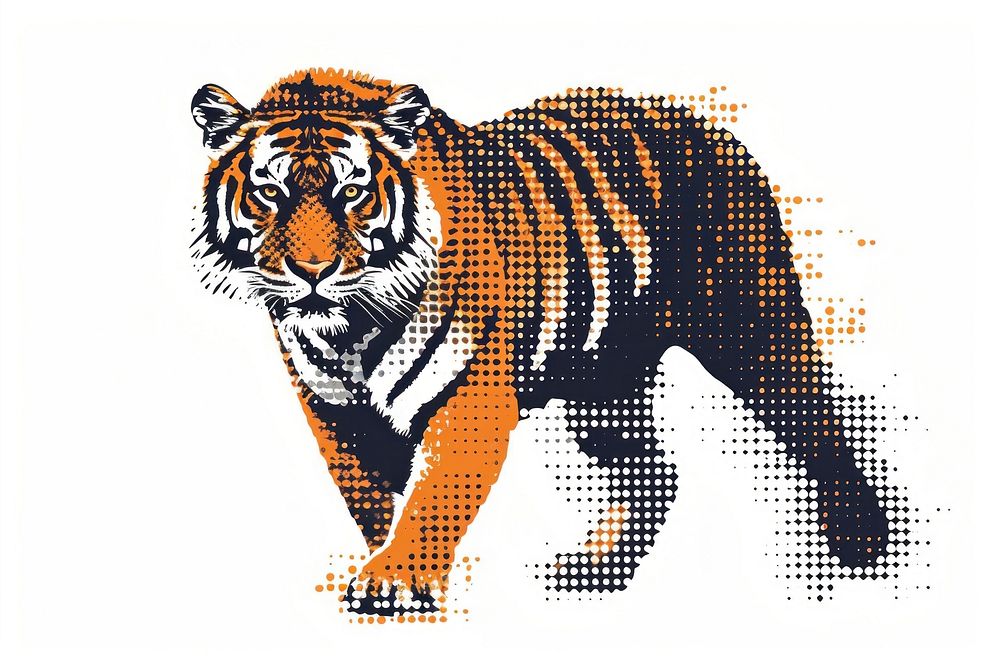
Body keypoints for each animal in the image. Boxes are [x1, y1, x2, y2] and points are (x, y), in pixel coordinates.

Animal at [190, 68, 892, 615]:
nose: (312, 271)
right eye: (269, 193)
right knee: (654, 471)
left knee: (825, 421)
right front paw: (383, 564)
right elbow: (371, 500)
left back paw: (861, 546)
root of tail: (702, 120)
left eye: (352, 193)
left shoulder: (470, 399)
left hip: (753, 333)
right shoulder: (333, 414)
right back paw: (593, 574)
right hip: (602, 384)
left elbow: (433, 495)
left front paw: (397, 581)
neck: (351, 330)